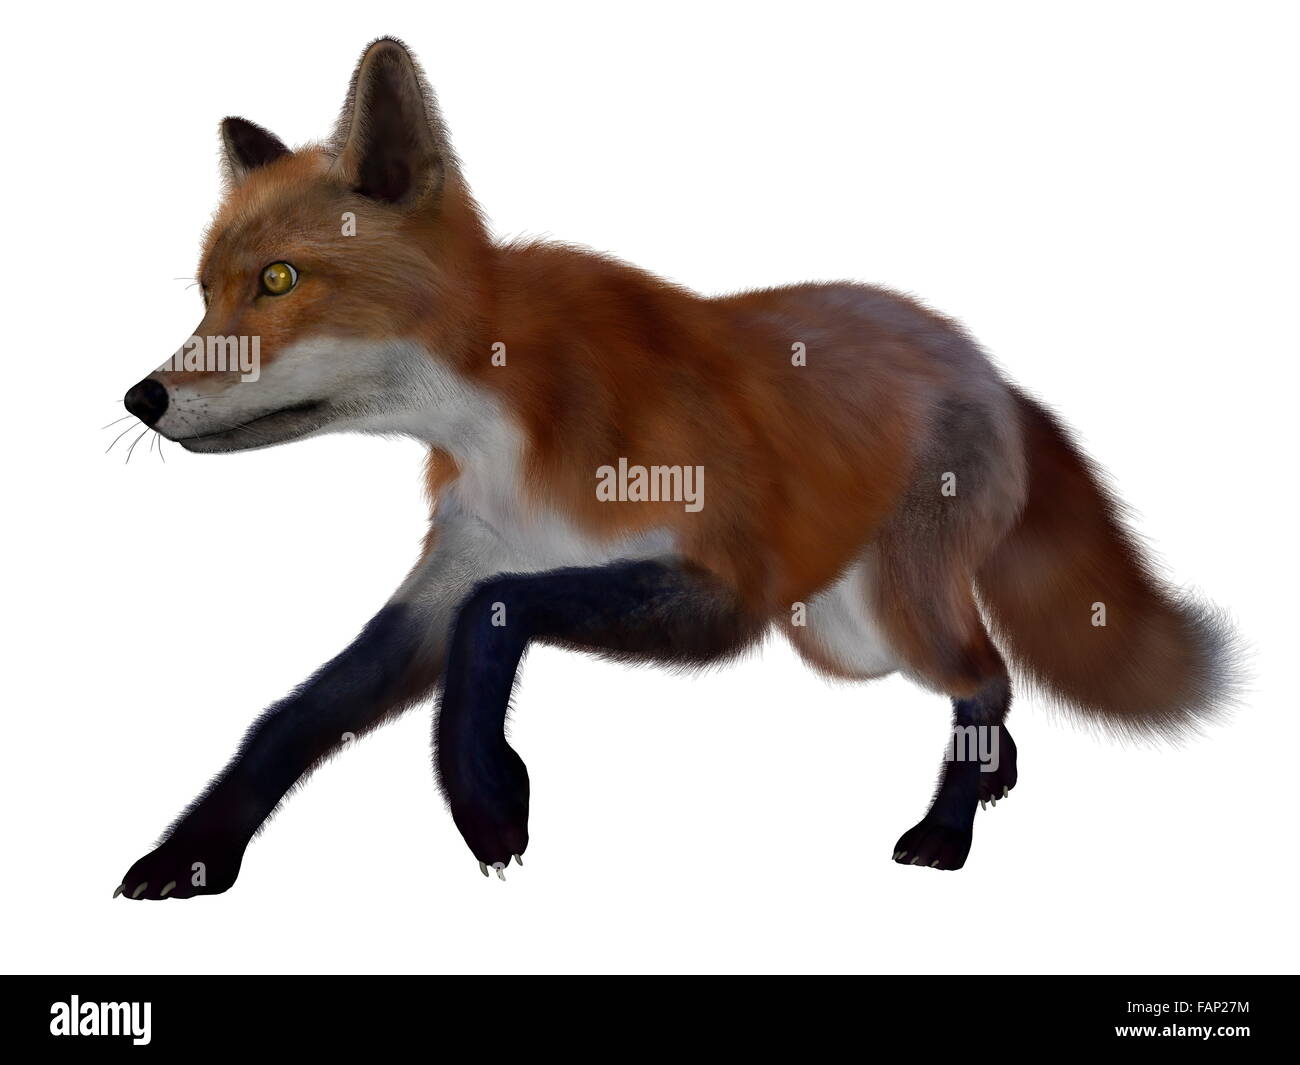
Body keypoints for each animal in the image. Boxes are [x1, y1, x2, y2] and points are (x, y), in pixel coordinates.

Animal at [115, 37, 1239, 899]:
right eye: (207, 294)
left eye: (278, 281)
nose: (140, 399)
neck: (513, 430)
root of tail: (992, 369)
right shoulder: (464, 563)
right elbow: (294, 714)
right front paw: (193, 855)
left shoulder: (724, 587)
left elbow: (497, 616)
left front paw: (490, 798)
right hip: (844, 631)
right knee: (994, 679)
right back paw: (994, 780)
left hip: (882, 616)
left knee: (984, 678)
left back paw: (950, 831)